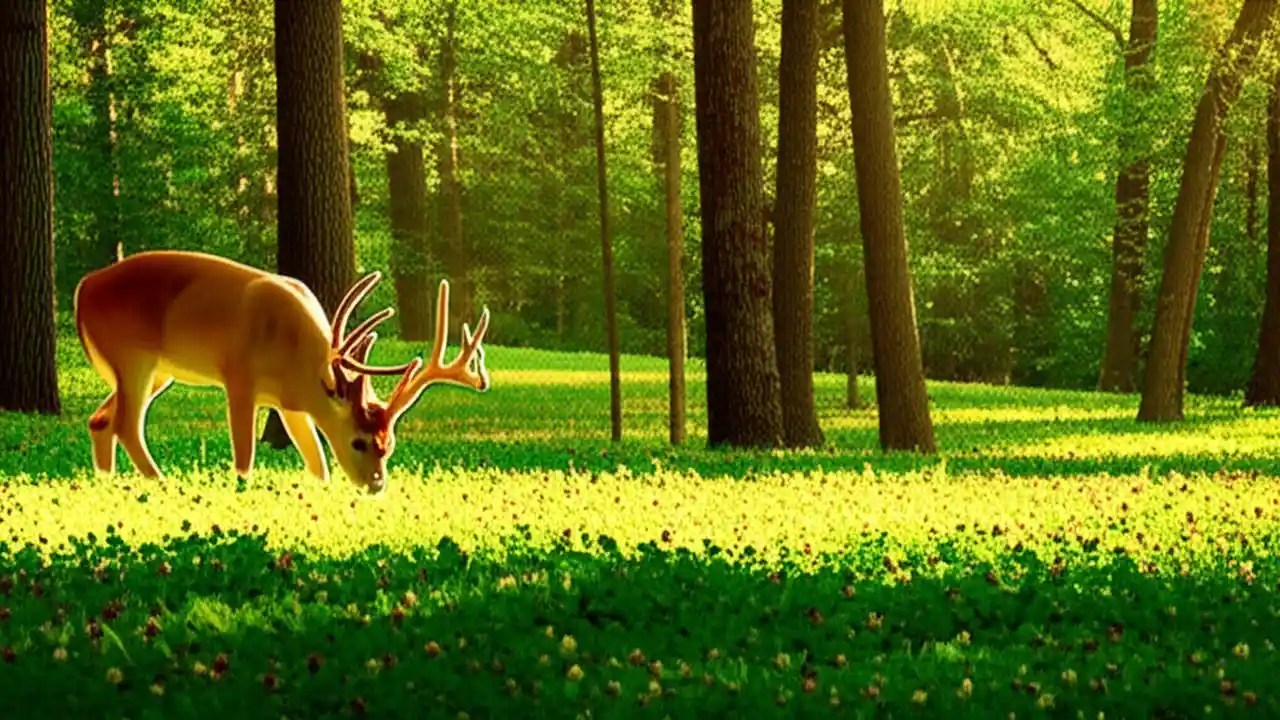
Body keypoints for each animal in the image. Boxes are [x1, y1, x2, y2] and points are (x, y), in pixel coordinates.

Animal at [73, 250, 490, 494]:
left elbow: (318, 463)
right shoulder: (239, 376)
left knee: (100, 420)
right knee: (127, 424)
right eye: (359, 442)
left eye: (390, 446)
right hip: (132, 355)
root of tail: (83, 288)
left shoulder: (289, 403)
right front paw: (241, 491)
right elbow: (244, 455)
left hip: (158, 371)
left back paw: (107, 483)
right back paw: (161, 483)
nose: (376, 486)